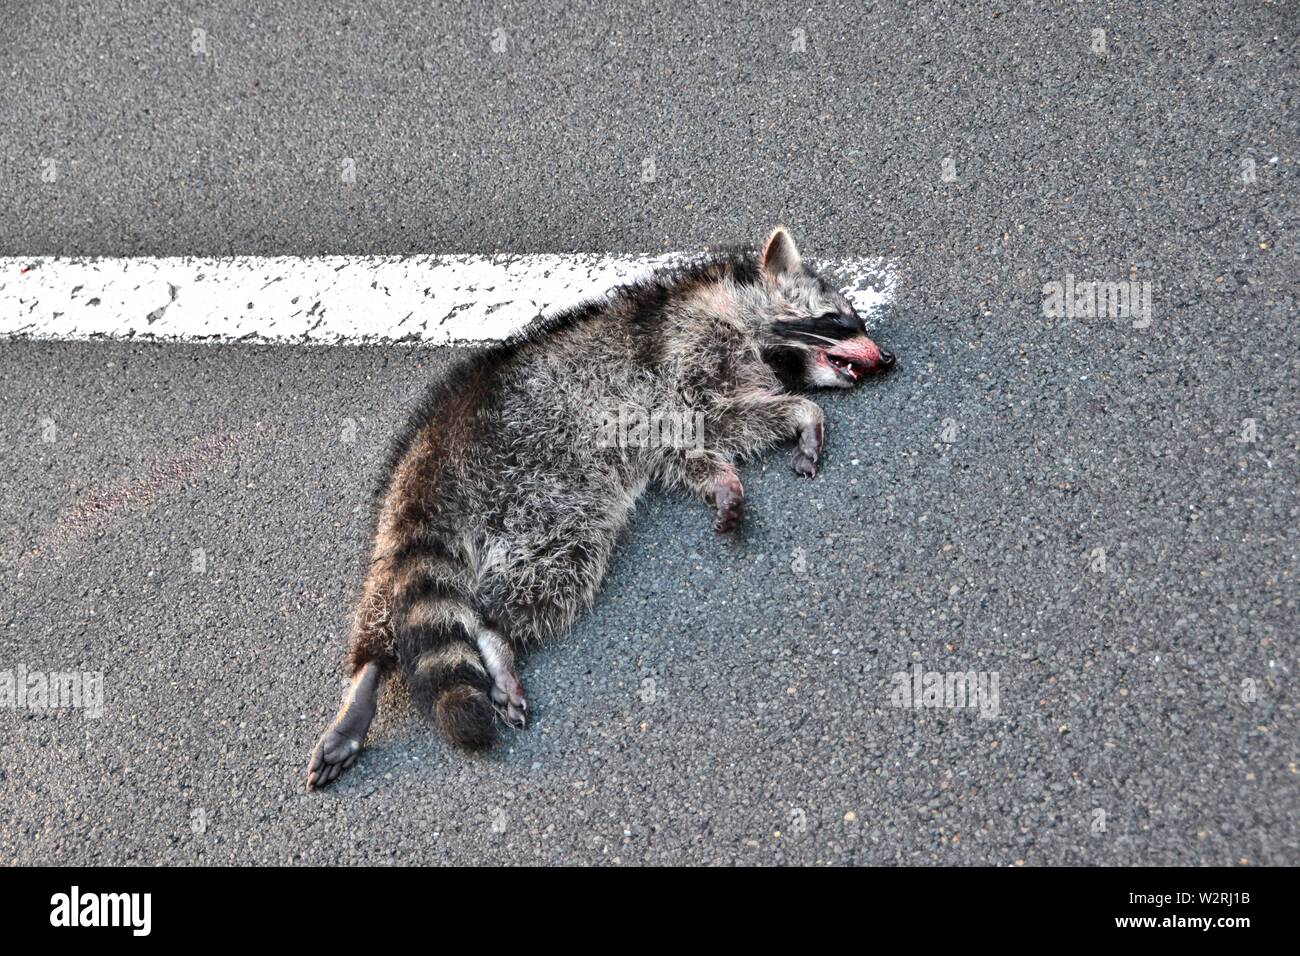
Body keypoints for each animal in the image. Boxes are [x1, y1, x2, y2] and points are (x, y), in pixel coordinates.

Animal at [306, 227, 895, 788]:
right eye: (840, 317)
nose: (888, 358)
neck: (737, 312)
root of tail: (433, 448)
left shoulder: (671, 410)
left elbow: (699, 447)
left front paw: (729, 475)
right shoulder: (687, 353)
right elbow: (716, 414)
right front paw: (804, 414)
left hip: (504, 519)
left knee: (448, 596)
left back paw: (398, 663)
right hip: (529, 484)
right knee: (529, 583)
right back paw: (491, 636)